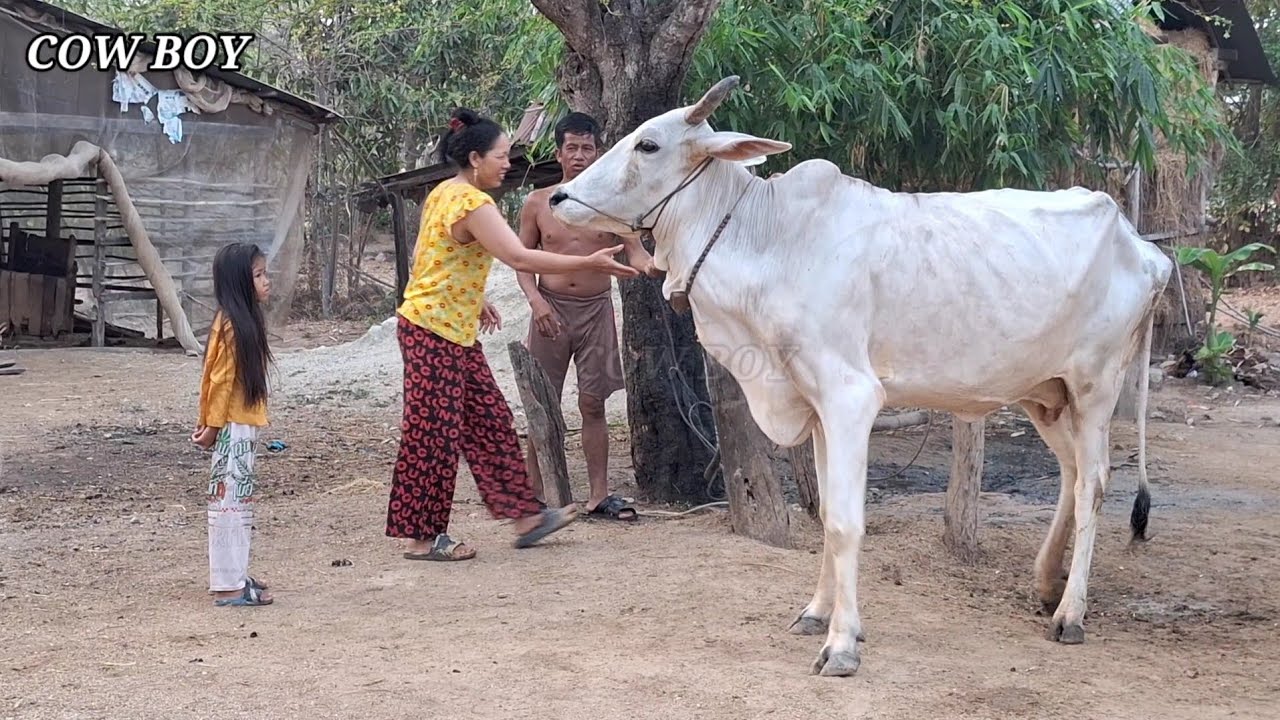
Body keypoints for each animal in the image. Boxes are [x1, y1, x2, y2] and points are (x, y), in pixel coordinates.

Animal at [548, 76, 1171, 677]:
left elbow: (846, 523)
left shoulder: (849, 399)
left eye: (648, 144)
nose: (556, 195)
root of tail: (1146, 249)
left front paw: (842, 643)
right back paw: (1046, 584)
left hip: (1095, 388)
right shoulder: (816, 406)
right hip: (1044, 395)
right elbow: (826, 514)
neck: (770, 239)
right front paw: (815, 613)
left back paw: (1071, 613)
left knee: (1094, 484)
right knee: (1072, 473)